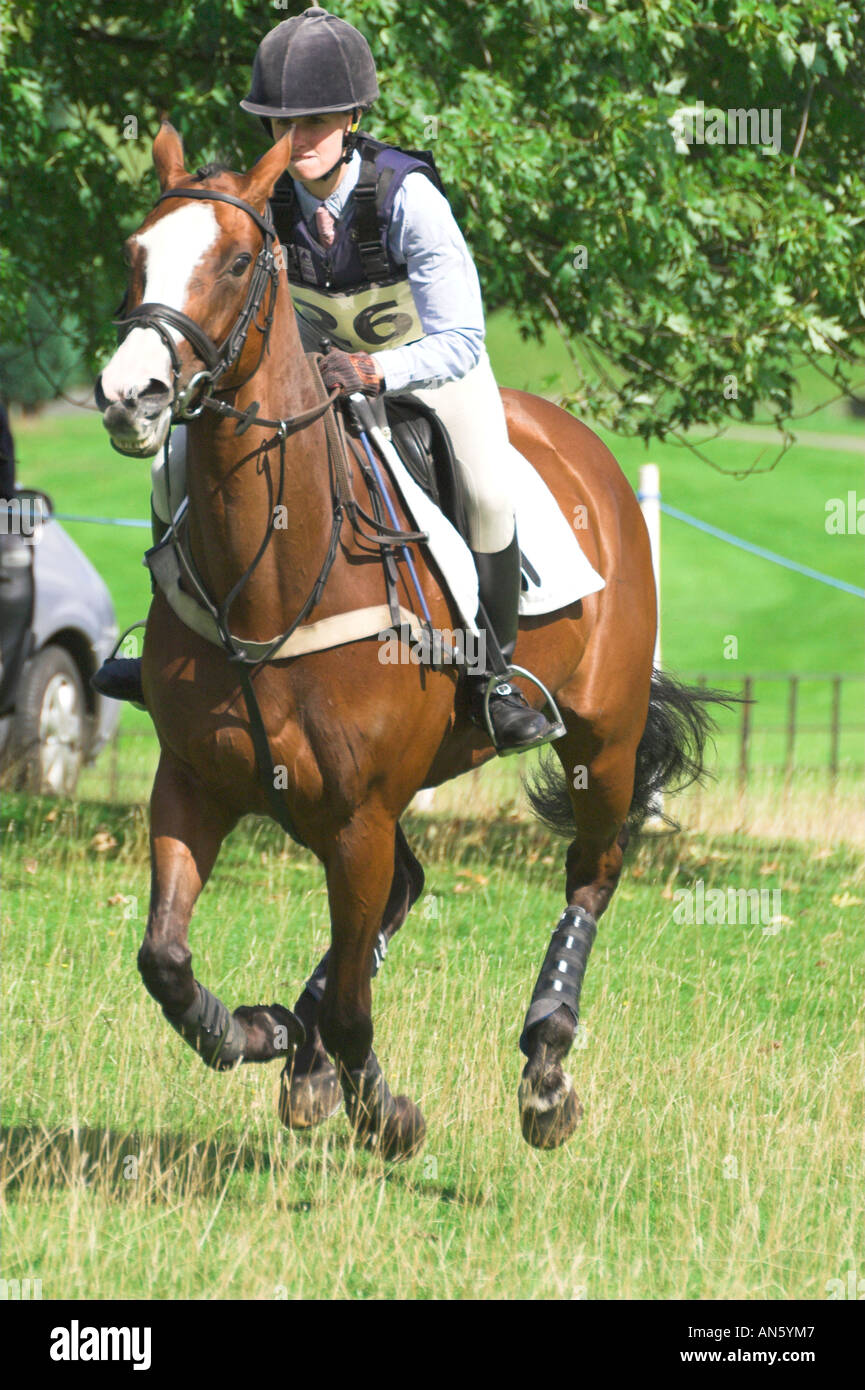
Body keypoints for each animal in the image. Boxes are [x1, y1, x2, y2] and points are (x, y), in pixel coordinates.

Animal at [94, 123, 722, 1160]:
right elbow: (164, 961)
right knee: (405, 890)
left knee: (590, 874)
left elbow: (356, 1003)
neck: (270, 568)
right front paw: (258, 1031)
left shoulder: (357, 817)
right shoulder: (196, 783)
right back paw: (302, 1049)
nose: (128, 396)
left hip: (602, 741)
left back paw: (545, 1069)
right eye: (137, 253)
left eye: (236, 262)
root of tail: (576, 444)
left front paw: (383, 1112)